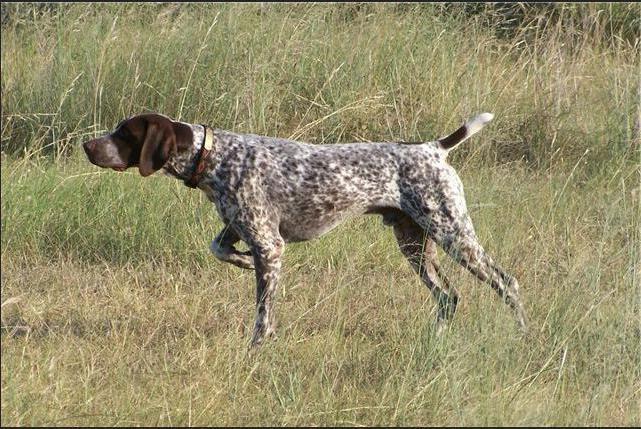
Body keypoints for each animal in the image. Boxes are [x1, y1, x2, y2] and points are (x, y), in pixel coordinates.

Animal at [82, 112, 528, 346]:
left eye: (124, 133)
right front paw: (241, 262)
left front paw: (257, 349)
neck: (215, 157)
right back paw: (434, 340)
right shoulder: (240, 229)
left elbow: (263, 315)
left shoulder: (270, 244)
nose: (88, 146)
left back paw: (525, 336)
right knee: (448, 297)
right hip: (415, 244)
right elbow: (218, 248)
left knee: (507, 283)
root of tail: (433, 148)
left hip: (453, 235)